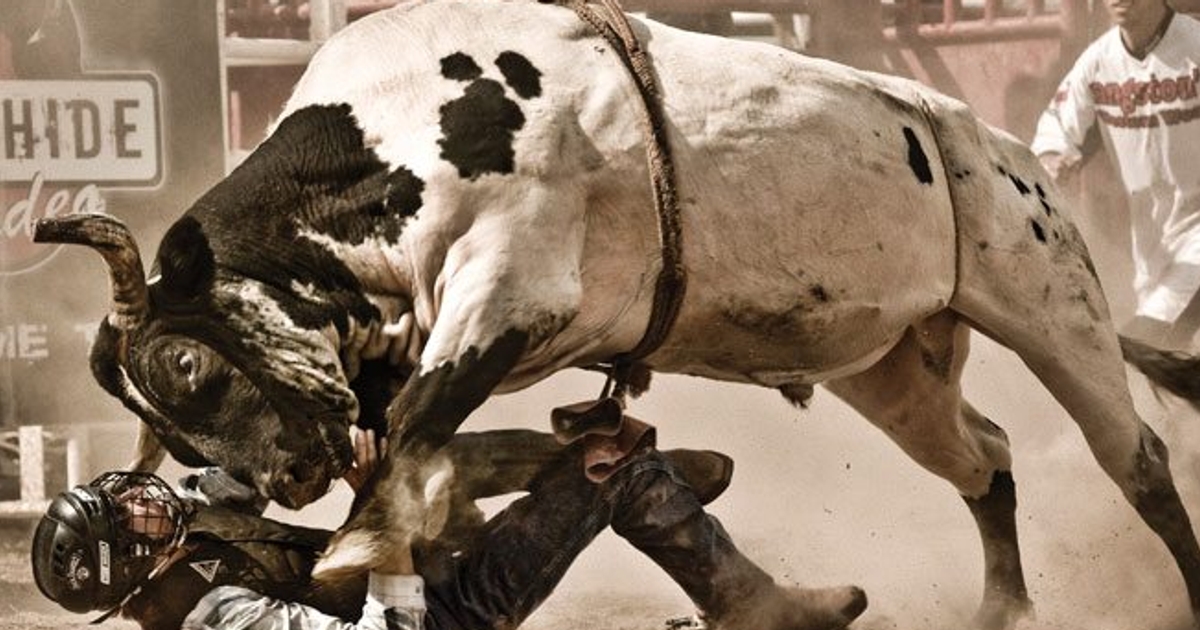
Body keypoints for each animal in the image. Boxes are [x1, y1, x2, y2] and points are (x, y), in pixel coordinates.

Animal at [30, 1, 1200, 628]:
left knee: (1137, 459)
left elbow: (415, 426)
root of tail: (985, 139)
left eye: (187, 367)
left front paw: (363, 546)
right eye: (176, 433)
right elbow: (425, 443)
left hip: (1049, 299)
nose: (285, 482)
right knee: (986, 457)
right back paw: (1001, 605)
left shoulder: (509, 287)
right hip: (892, 368)